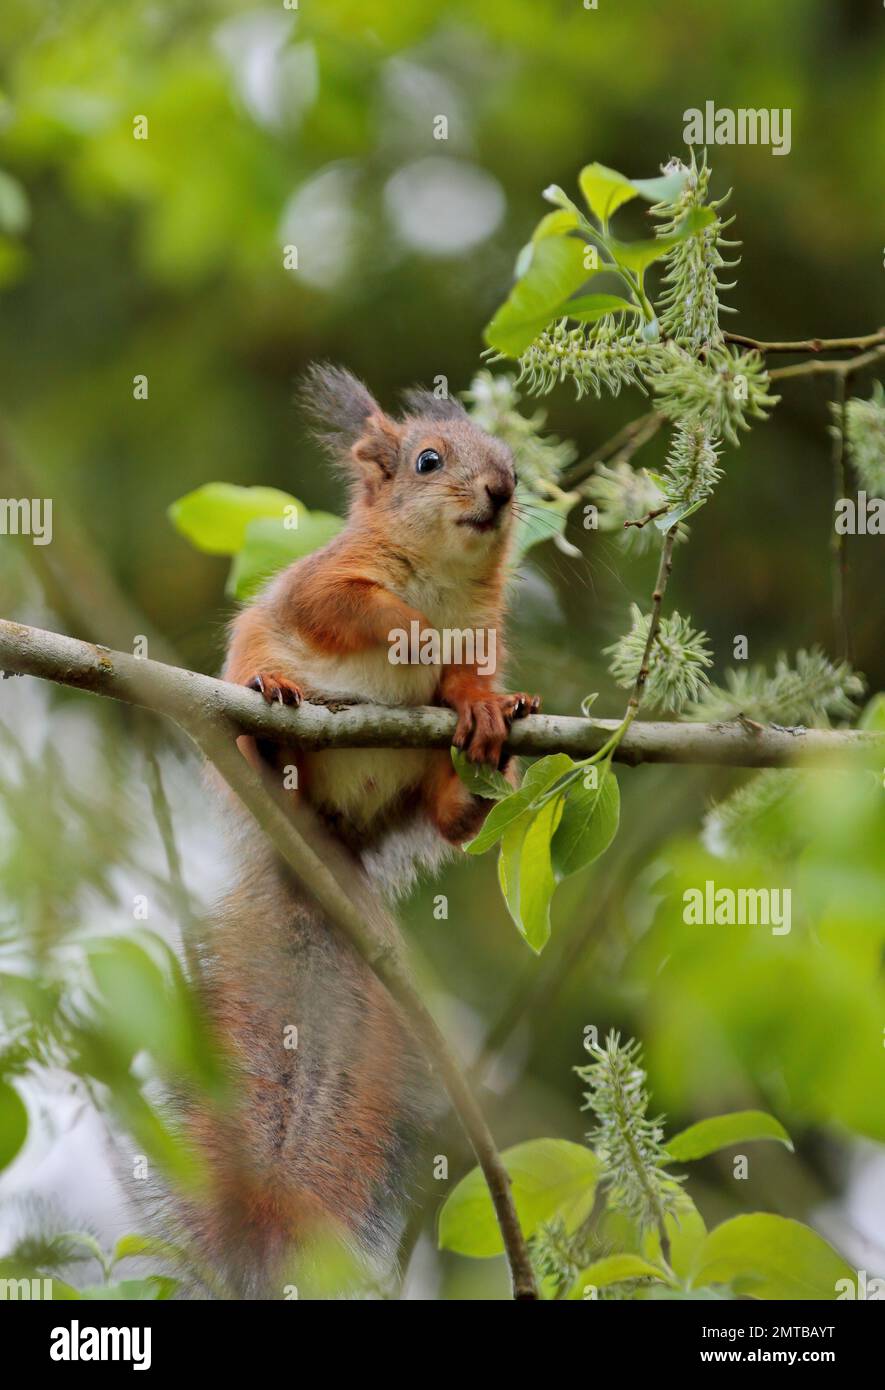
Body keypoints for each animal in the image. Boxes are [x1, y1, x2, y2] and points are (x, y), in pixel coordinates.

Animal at [181, 365, 540, 1297]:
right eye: (427, 460)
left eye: (512, 460)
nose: (500, 490)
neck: (444, 581)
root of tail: (325, 837)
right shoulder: (327, 581)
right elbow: (356, 609)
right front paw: (410, 633)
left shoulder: (484, 630)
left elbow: (468, 672)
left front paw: (483, 701)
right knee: (267, 722)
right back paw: (269, 726)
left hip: (410, 785)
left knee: (444, 815)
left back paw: (482, 783)